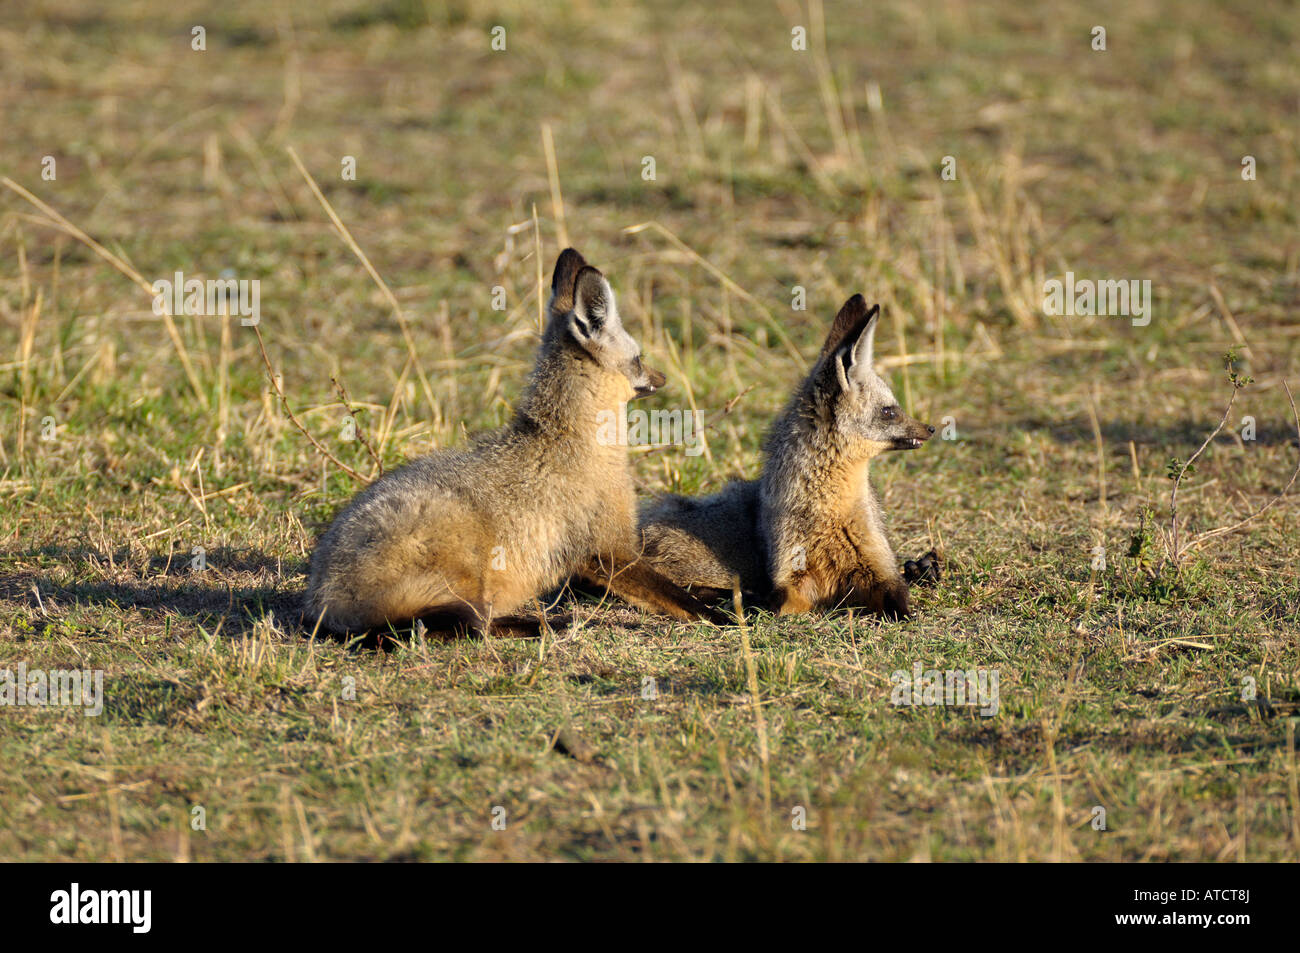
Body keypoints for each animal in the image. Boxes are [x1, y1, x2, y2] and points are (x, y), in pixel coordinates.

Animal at [305, 248, 729, 636]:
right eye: (639, 359)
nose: (663, 379)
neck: (571, 438)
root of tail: (320, 602)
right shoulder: (608, 550)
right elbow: (677, 595)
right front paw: (724, 616)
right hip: (466, 577)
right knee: (461, 627)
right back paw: (552, 624)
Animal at [639, 293, 937, 618]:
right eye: (889, 412)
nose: (932, 428)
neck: (830, 513)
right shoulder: (792, 581)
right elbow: (774, 602)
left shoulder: (878, 570)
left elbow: (900, 602)